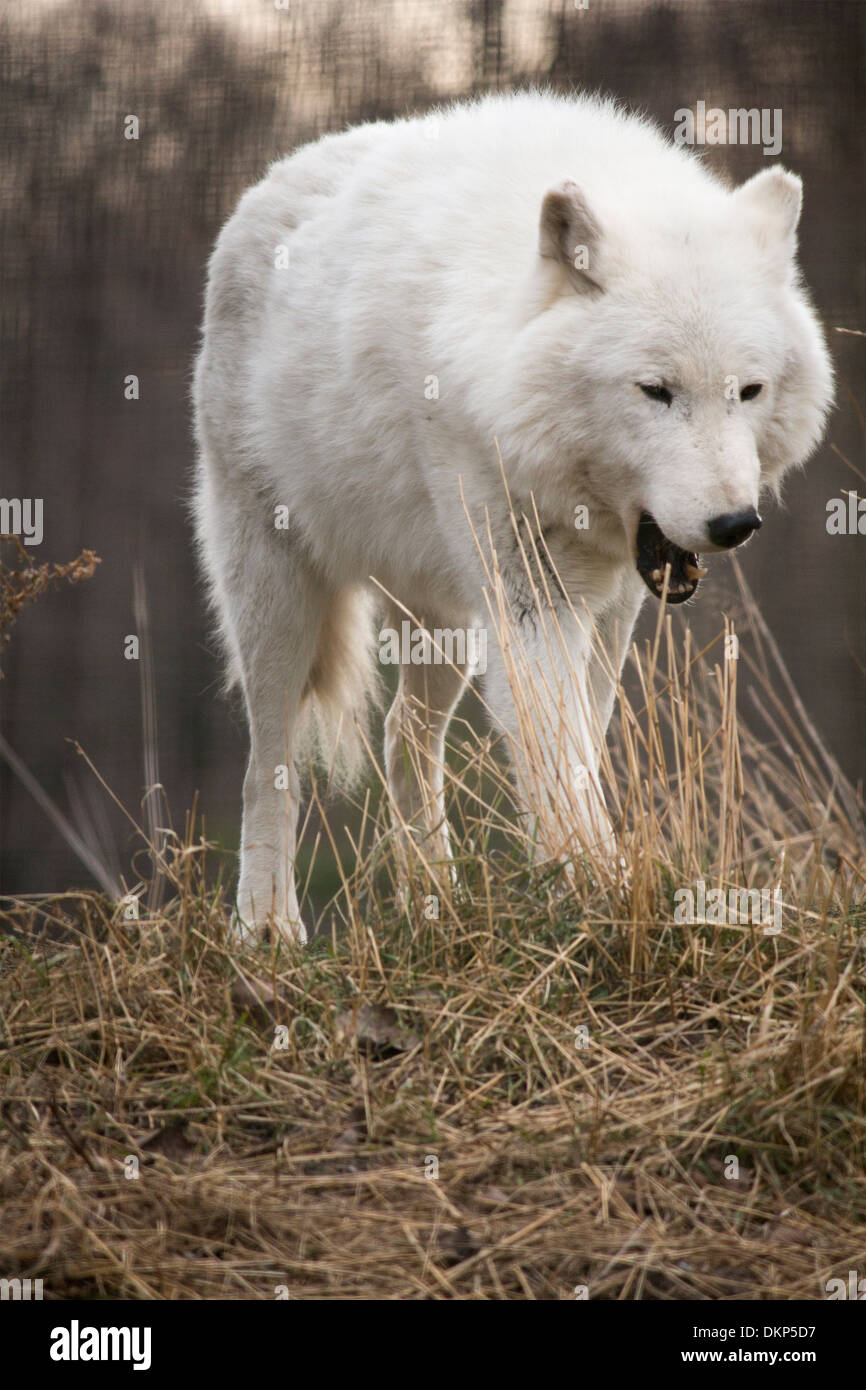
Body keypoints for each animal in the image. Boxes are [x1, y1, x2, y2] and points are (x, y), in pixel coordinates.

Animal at [193, 91, 833, 944]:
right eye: (656, 391)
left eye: (748, 391)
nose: (734, 524)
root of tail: (264, 186)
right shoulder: (533, 601)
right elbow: (553, 745)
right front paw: (599, 889)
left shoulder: (612, 604)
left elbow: (579, 742)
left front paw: (571, 879)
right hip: (277, 588)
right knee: (268, 759)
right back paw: (266, 928)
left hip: (444, 616)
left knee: (404, 736)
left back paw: (435, 908)